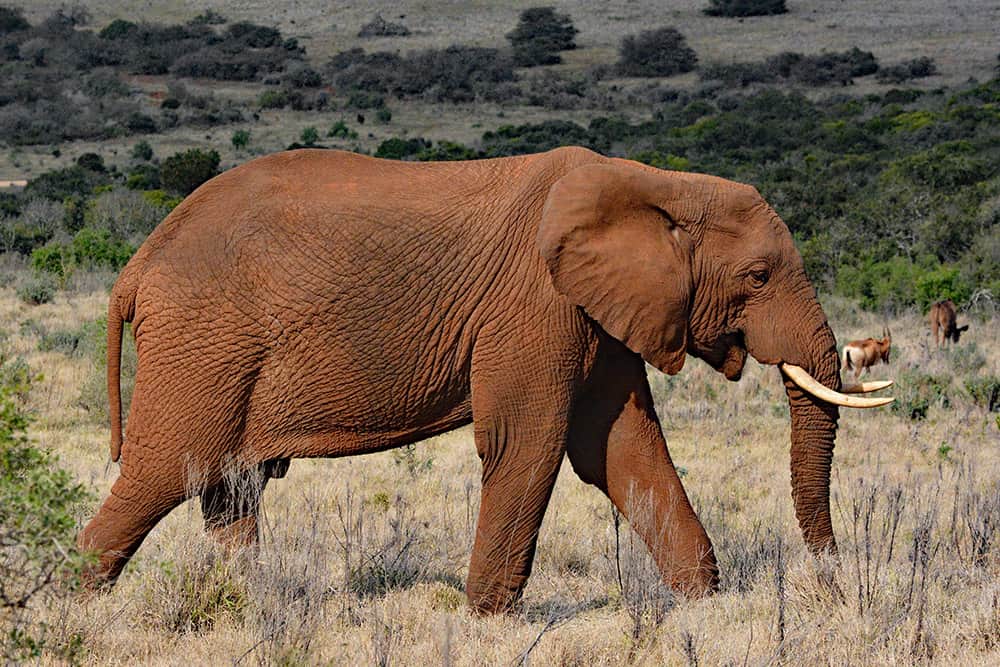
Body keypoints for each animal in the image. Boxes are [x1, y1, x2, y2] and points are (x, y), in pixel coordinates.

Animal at [78, 146, 893, 613]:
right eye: (757, 277)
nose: (831, 577)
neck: (660, 183)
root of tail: (137, 264)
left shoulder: (596, 310)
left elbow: (621, 447)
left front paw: (706, 605)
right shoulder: (534, 303)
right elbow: (528, 443)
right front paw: (487, 619)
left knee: (229, 490)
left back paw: (251, 604)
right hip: (202, 343)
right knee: (164, 471)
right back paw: (71, 604)